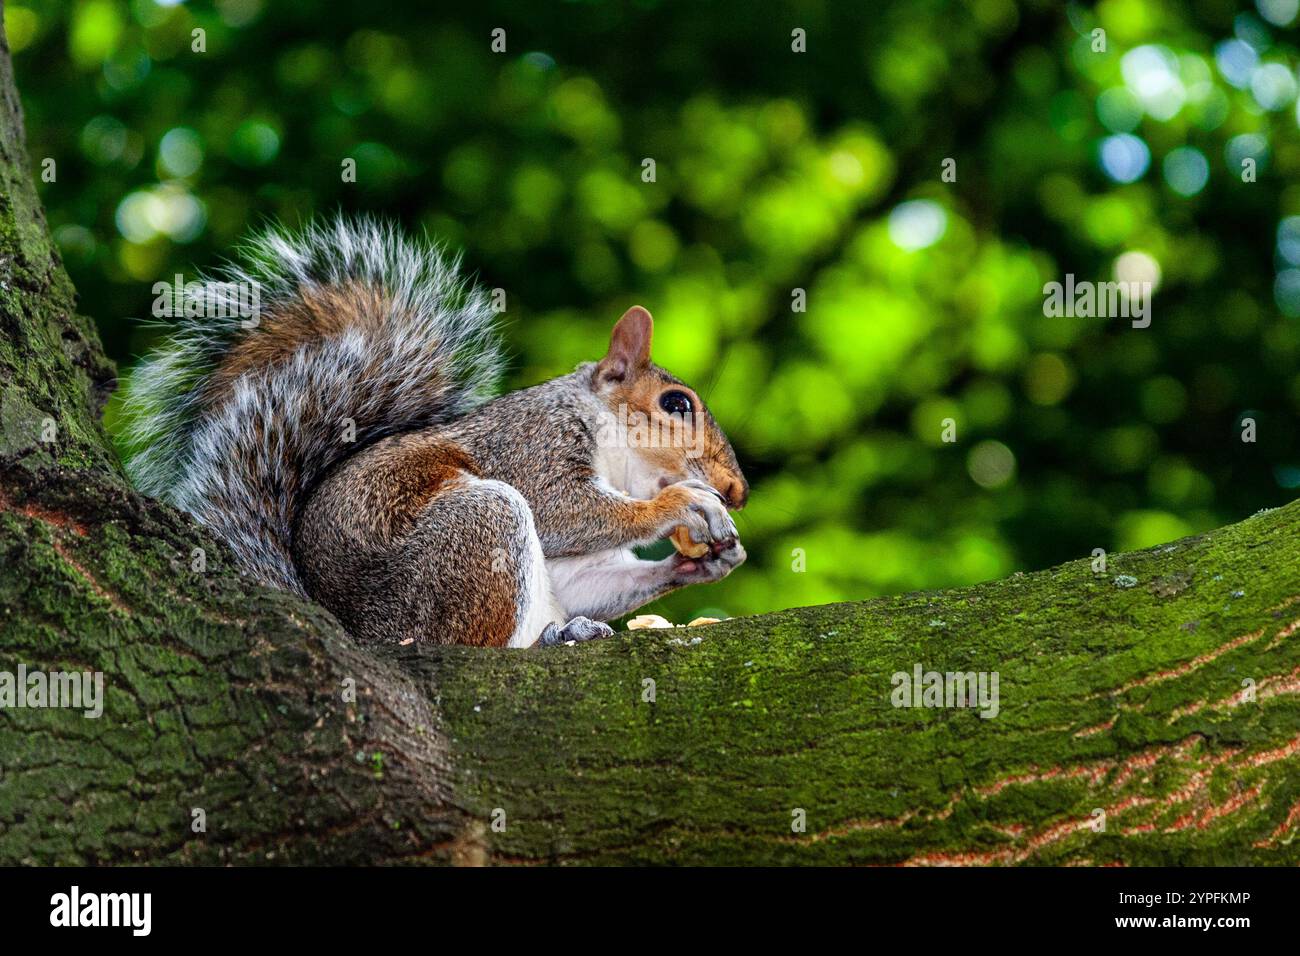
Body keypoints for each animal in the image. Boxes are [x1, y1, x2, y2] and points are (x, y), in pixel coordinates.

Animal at [119, 217, 748, 648]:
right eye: (675, 404)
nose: (737, 491)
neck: (605, 434)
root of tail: (361, 632)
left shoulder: (571, 566)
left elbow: (585, 580)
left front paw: (706, 561)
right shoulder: (532, 444)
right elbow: (561, 509)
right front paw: (684, 504)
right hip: (476, 533)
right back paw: (554, 638)